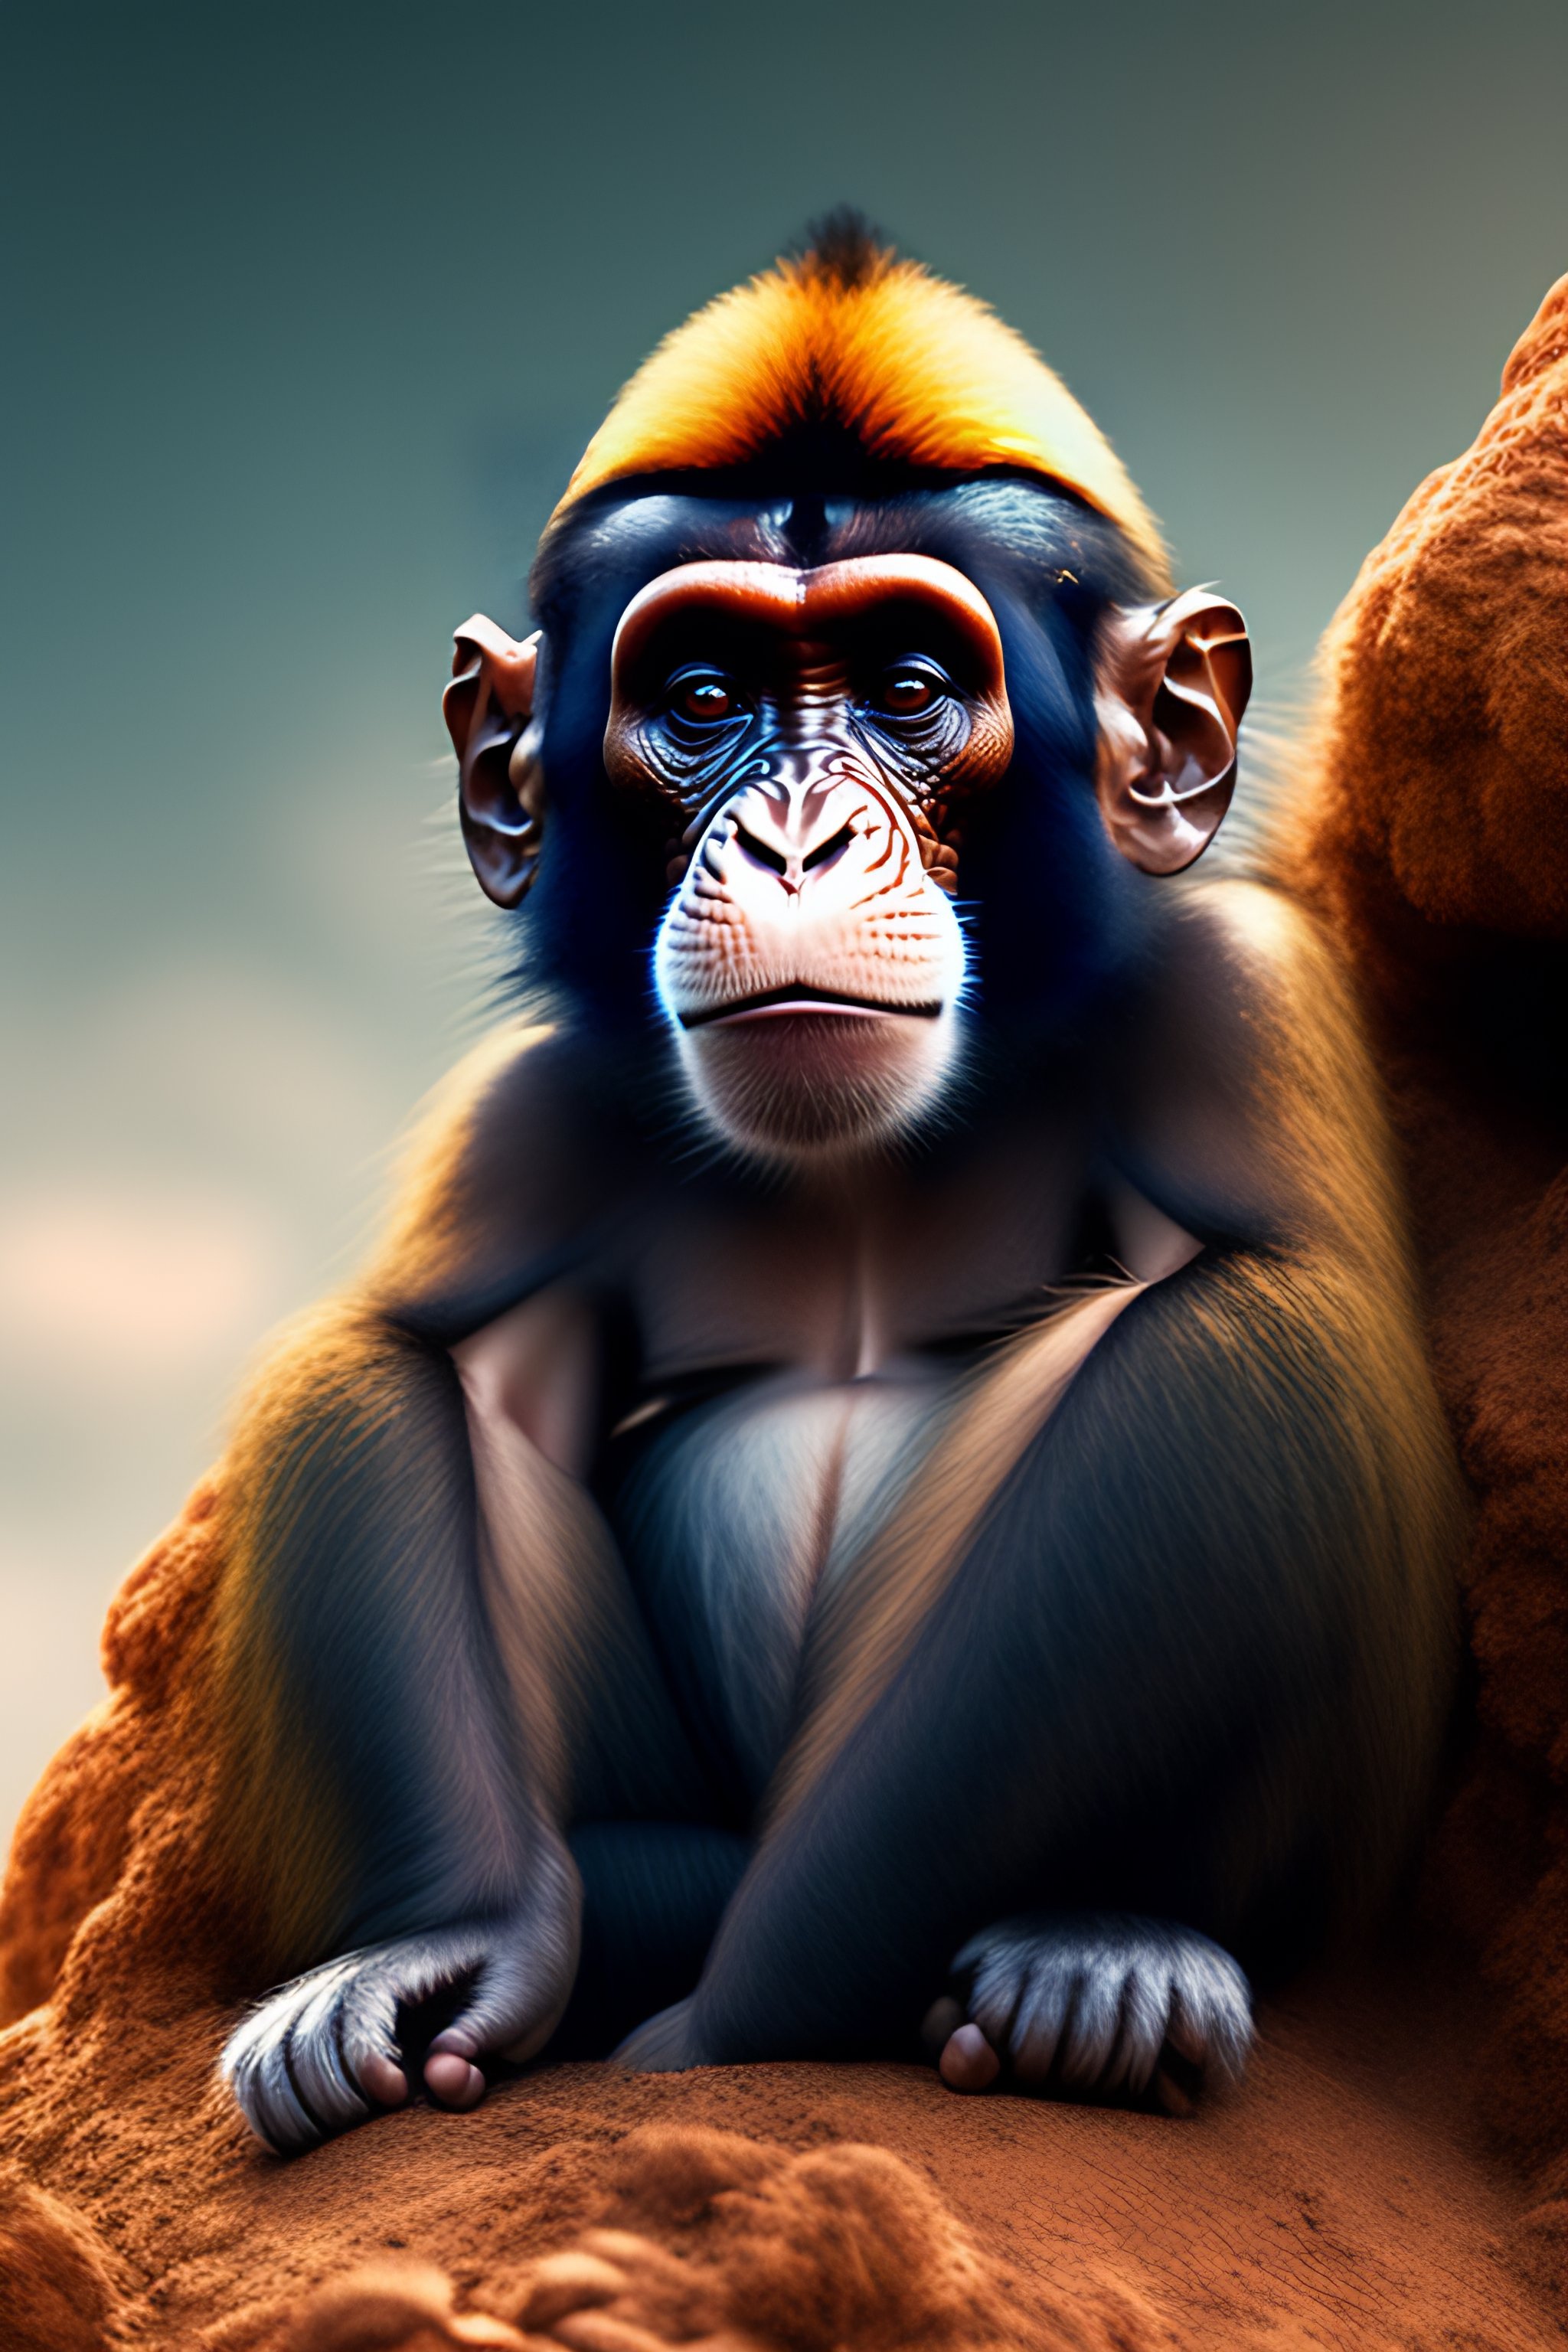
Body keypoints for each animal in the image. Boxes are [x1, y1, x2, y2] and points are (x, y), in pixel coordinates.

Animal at [214, 215, 1462, 2154]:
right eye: (701, 702)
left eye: (906, 690)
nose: (794, 833)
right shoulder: (527, 1116)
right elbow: (431, 1363)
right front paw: (458, 1939)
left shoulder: (1234, 998)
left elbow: (1256, 1317)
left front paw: (747, 2020)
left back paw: (1096, 1949)